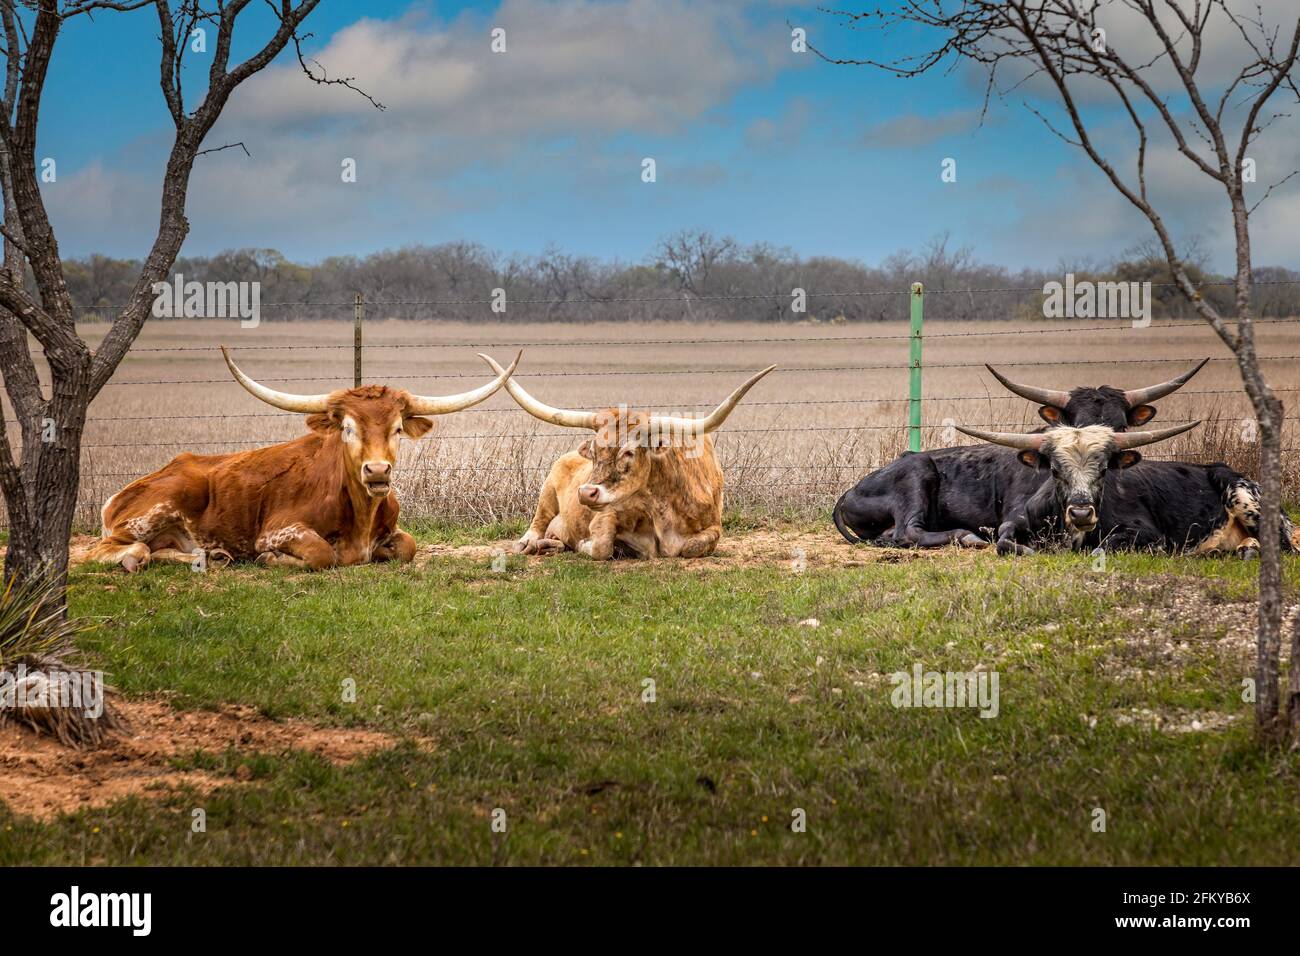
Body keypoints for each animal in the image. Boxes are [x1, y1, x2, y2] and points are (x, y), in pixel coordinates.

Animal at [84, 348, 520, 571]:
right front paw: (272, 559)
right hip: (151, 511)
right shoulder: (278, 529)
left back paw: (211, 556)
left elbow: (408, 546)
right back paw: (138, 558)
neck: (360, 516)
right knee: (110, 549)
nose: (378, 470)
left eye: (397, 429)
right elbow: (320, 554)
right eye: (347, 428)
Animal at [479, 354, 776, 559]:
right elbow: (601, 546)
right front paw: (586, 544)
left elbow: (691, 546)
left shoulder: (714, 525)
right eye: (594, 451)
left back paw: (551, 544)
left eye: (629, 452)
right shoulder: (606, 513)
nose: (586, 493)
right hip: (547, 491)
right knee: (538, 522)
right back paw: (532, 543)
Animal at [832, 362, 1208, 554]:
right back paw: (967, 536)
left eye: (1121, 426)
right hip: (917, 471)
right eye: (1074, 423)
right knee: (907, 531)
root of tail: (848, 493)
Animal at [954, 422, 1300, 558]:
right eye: (1054, 470)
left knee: (1283, 548)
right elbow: (1004, 543)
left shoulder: (1148, 535)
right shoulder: (1013, 523)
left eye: (1104, 469)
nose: (1081, 513)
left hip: (1244, 497)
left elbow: (1100, 548)